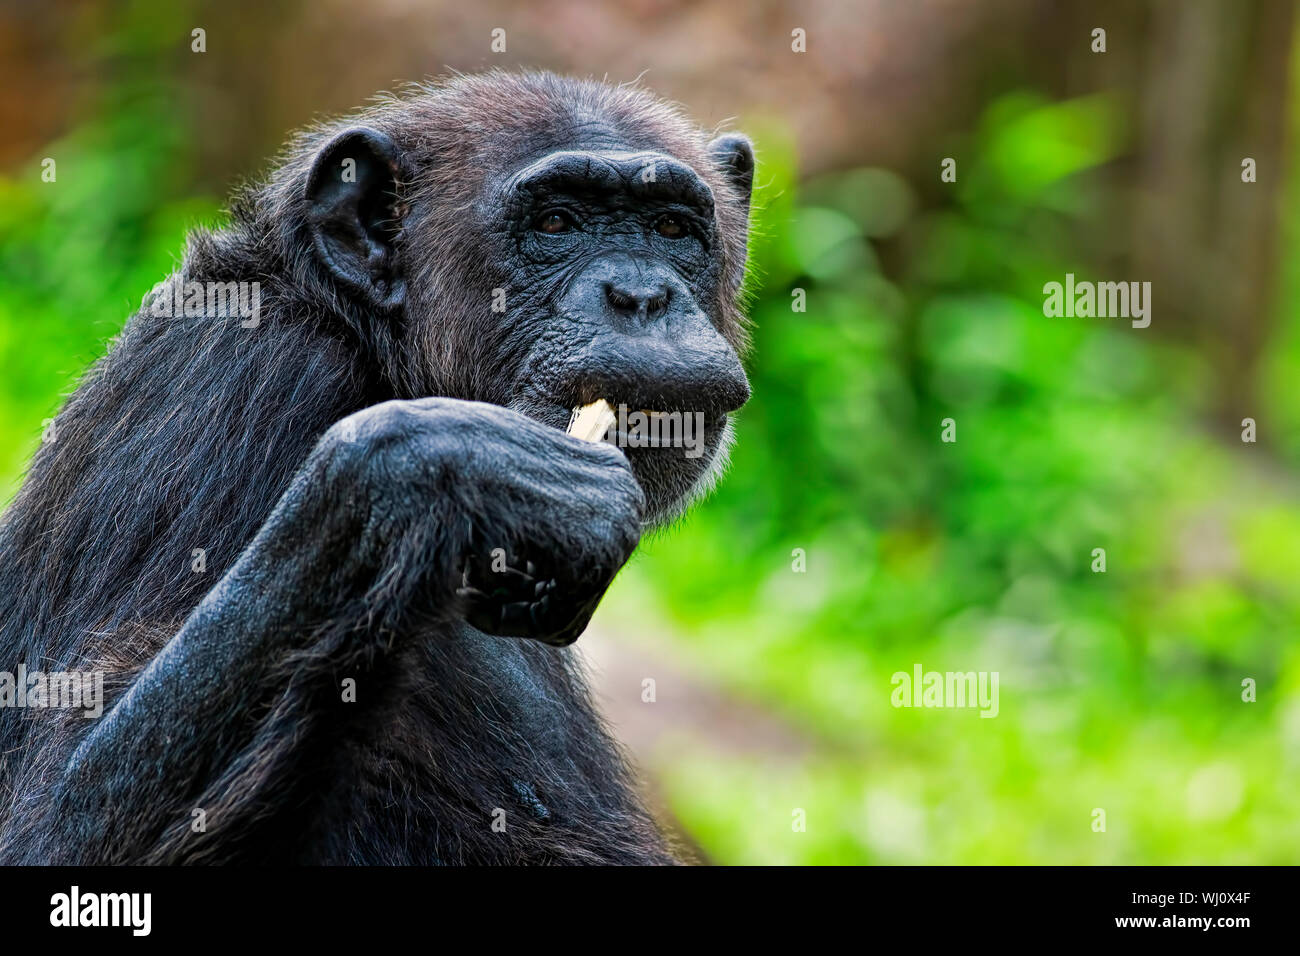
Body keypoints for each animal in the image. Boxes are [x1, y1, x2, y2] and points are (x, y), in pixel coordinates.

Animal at [0, 70, 754, 864]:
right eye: (556, 223)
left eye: (671, 230)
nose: (641, 296)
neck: (368, 343)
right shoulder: (236, 387)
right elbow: (53, 815)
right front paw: (457, 470)